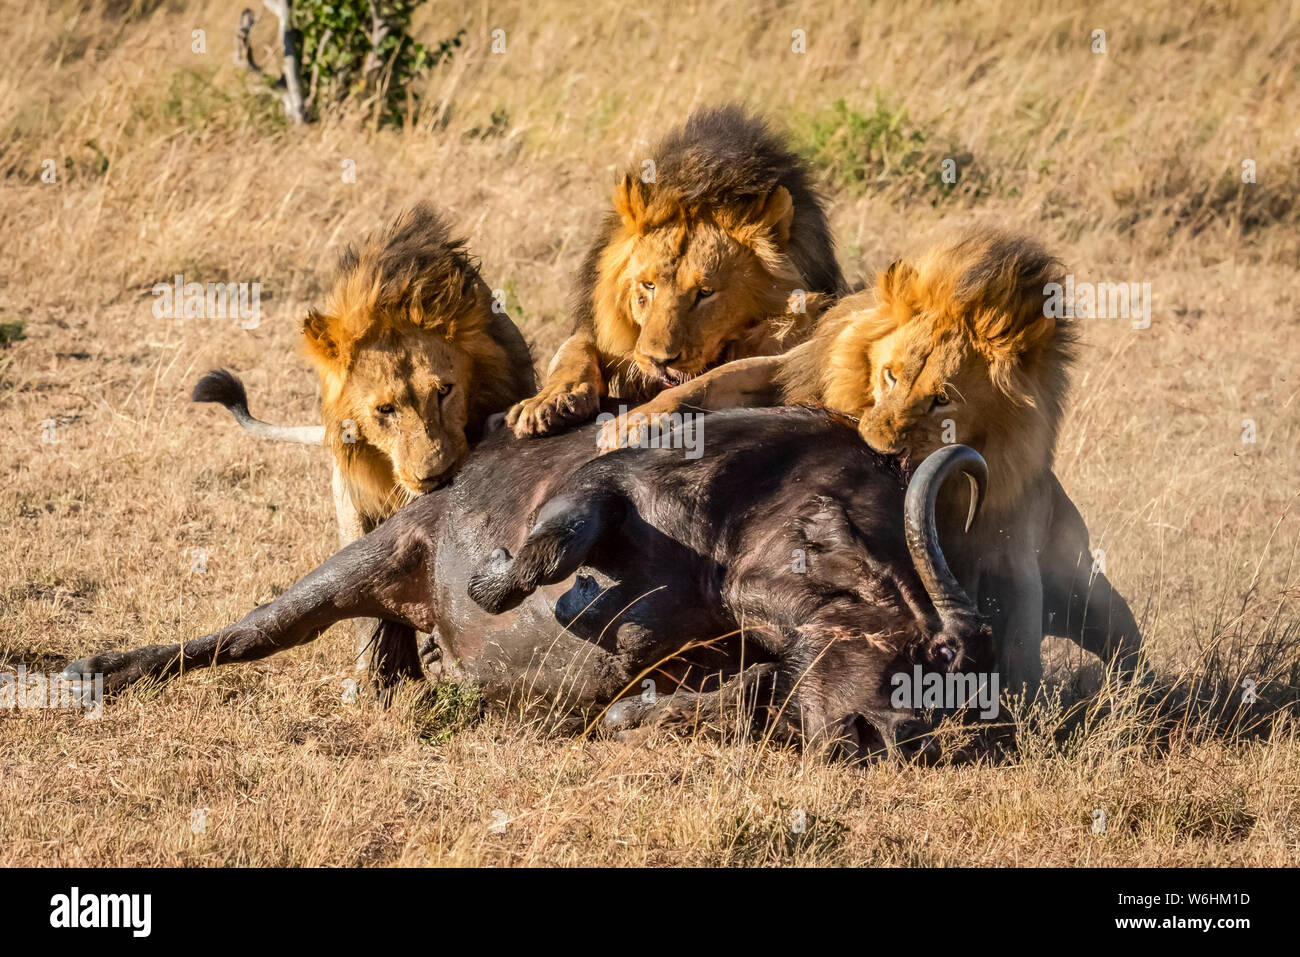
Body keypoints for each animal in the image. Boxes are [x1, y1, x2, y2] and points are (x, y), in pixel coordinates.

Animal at [505, 104, 845, 437]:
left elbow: (718, 376)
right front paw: (548, 401)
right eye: (648, 285)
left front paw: (636, 420)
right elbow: (573, 349)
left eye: (705, 293)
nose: (659, 361)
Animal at [598, 228, 1143, 693]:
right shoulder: (794, 368)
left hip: (1084, 585)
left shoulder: (1009, 548)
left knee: (1126, 643)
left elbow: (1020, 643)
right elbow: (718, 377)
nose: (878, 448)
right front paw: (629, 426)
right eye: (890, 375)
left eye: (942, 400)